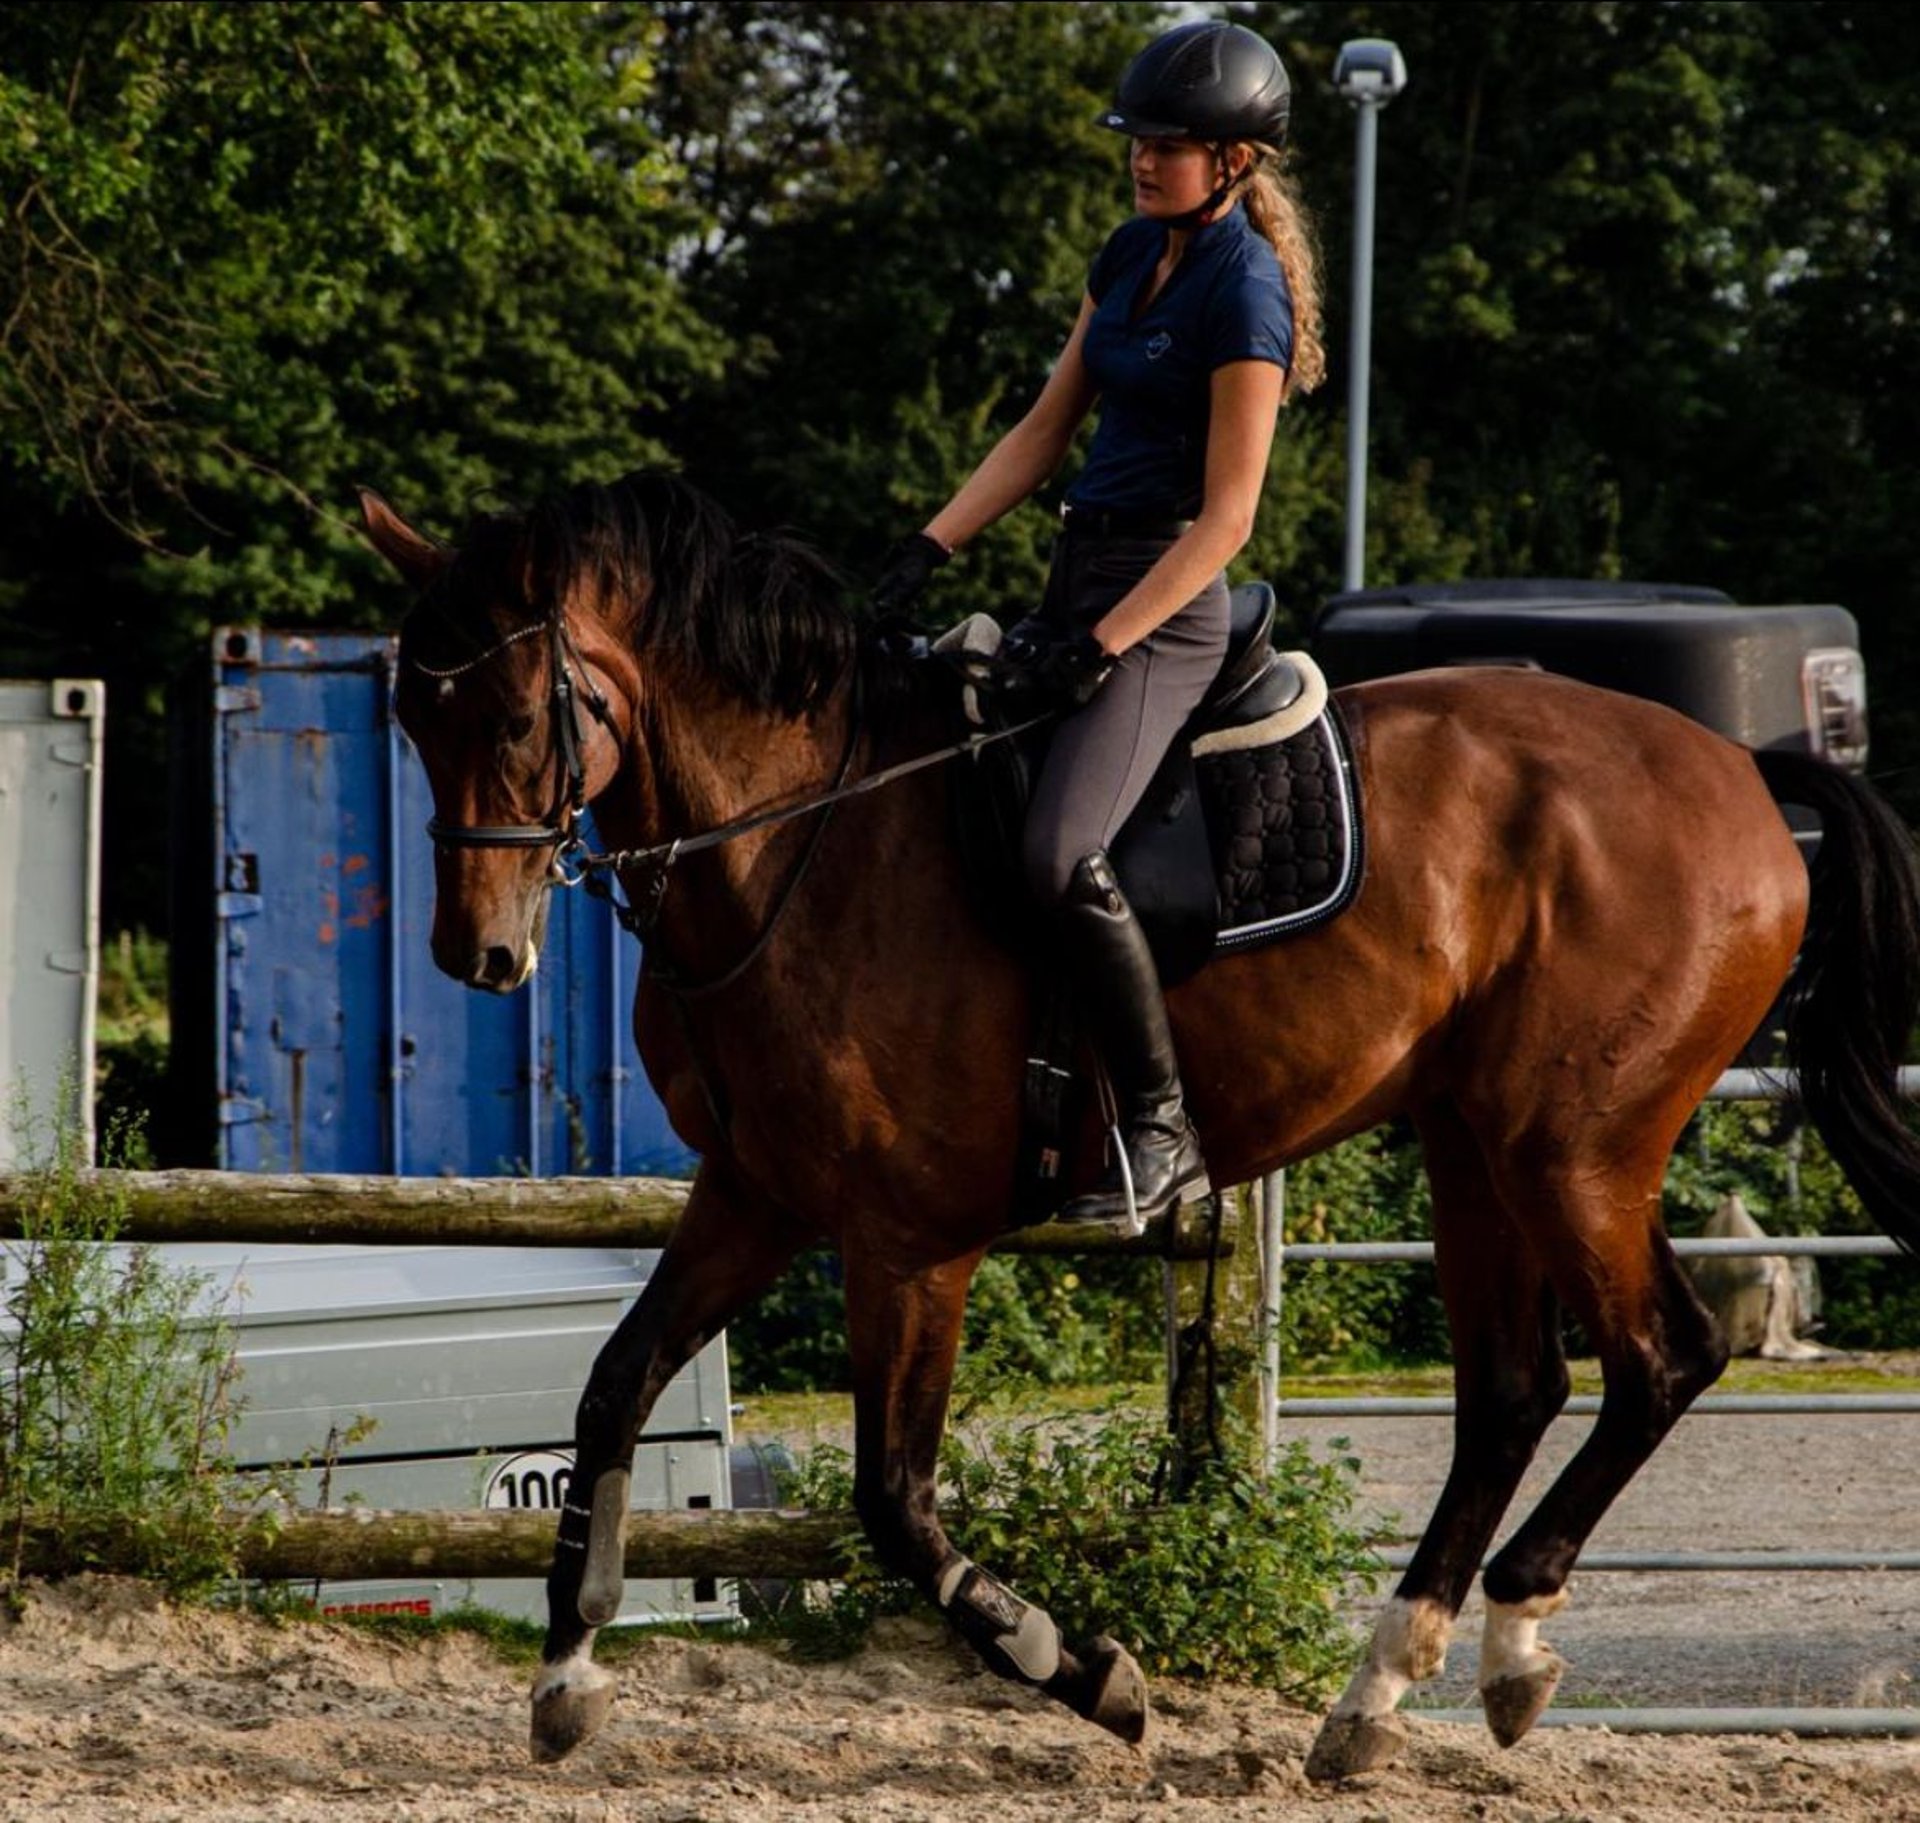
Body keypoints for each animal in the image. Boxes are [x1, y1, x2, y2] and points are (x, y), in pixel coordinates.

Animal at [361, 471, 1920, 1781]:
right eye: (411, 725)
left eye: (514, 718)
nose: (475, 955)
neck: (798, 838)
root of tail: (1743, 773)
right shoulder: (756, 1193)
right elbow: (612, 1387)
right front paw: (566, 1673)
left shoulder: (910, 1238)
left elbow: (893, 1499)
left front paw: (1085, 1667)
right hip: (1473, 1141)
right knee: (1512, 1392)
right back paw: (1380, 1690)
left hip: (1573, 1146)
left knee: (1663, 1357)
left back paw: (1510, 1638)